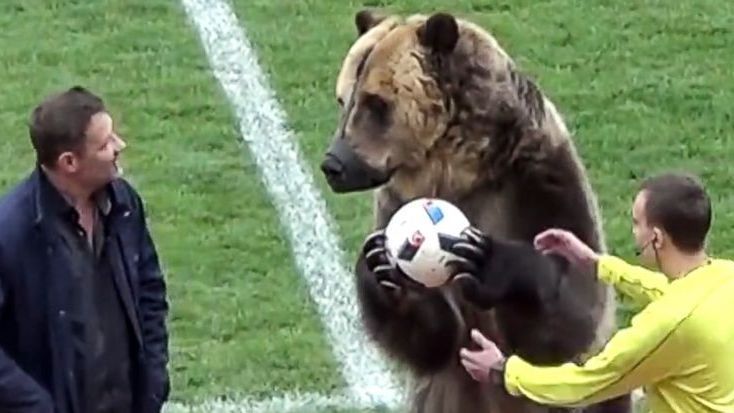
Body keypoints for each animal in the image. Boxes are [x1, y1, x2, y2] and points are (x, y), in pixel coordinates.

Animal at [319, 9, 632, 413]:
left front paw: (489, 261)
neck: (458, 170)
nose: (334, 164)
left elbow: (573, 315)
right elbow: (434, 341)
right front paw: (380, 267)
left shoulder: (539, 178)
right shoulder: (395, 202)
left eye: (376, 103)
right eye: (343, 99)